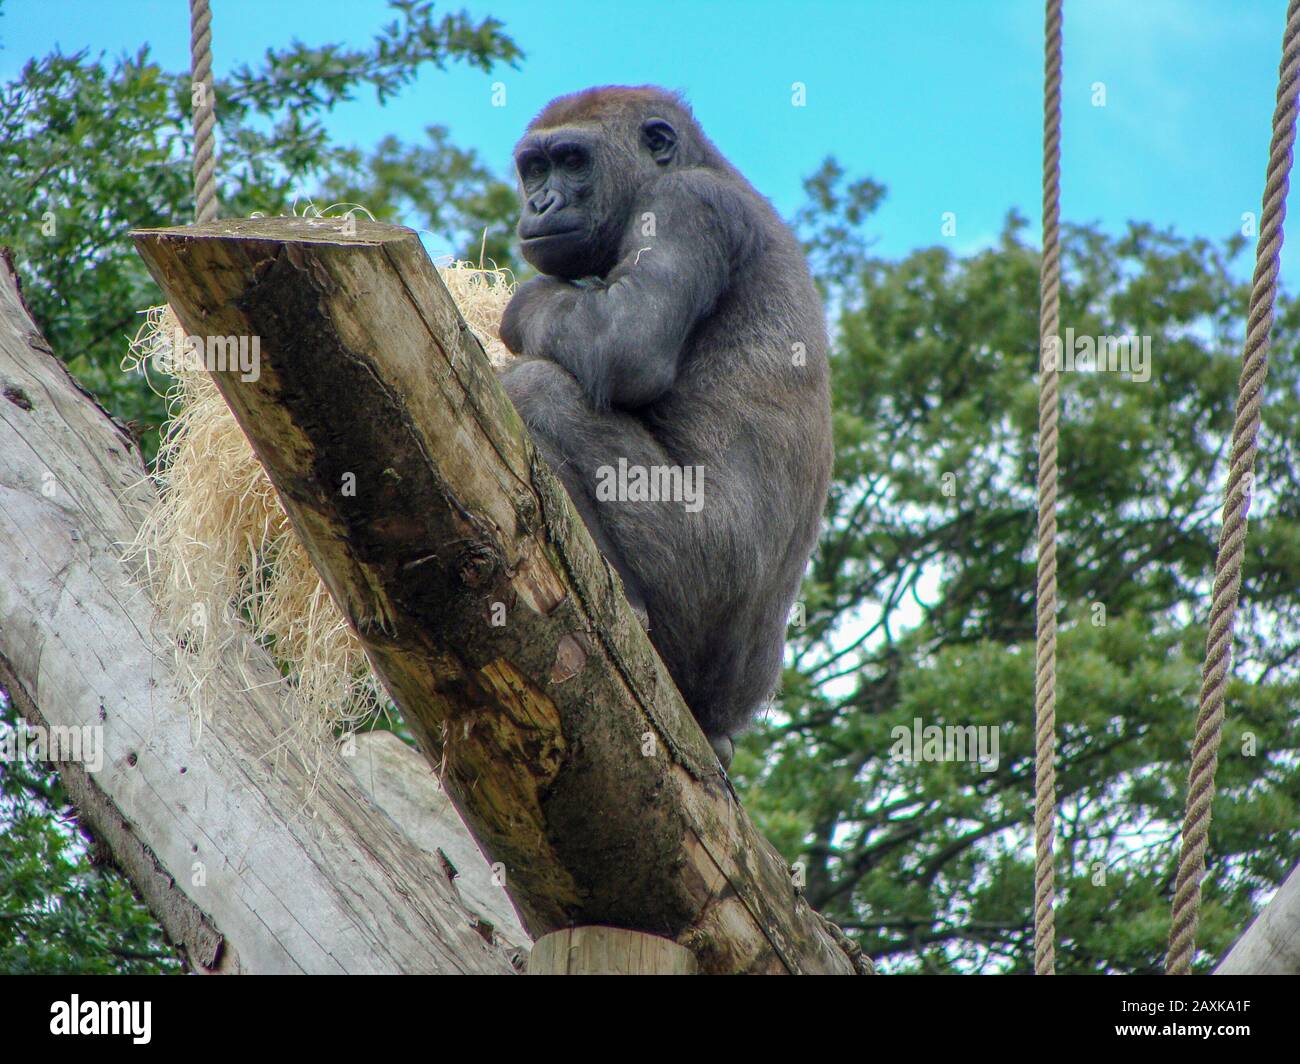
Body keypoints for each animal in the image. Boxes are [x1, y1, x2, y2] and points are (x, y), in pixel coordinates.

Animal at [497, 86, 832, 767]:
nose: (541, 203)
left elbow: (626, 343)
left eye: (572, 161)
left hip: (706, 581)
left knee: (535, 388)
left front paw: (525, 302)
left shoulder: (683, 206)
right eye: (534, 169)